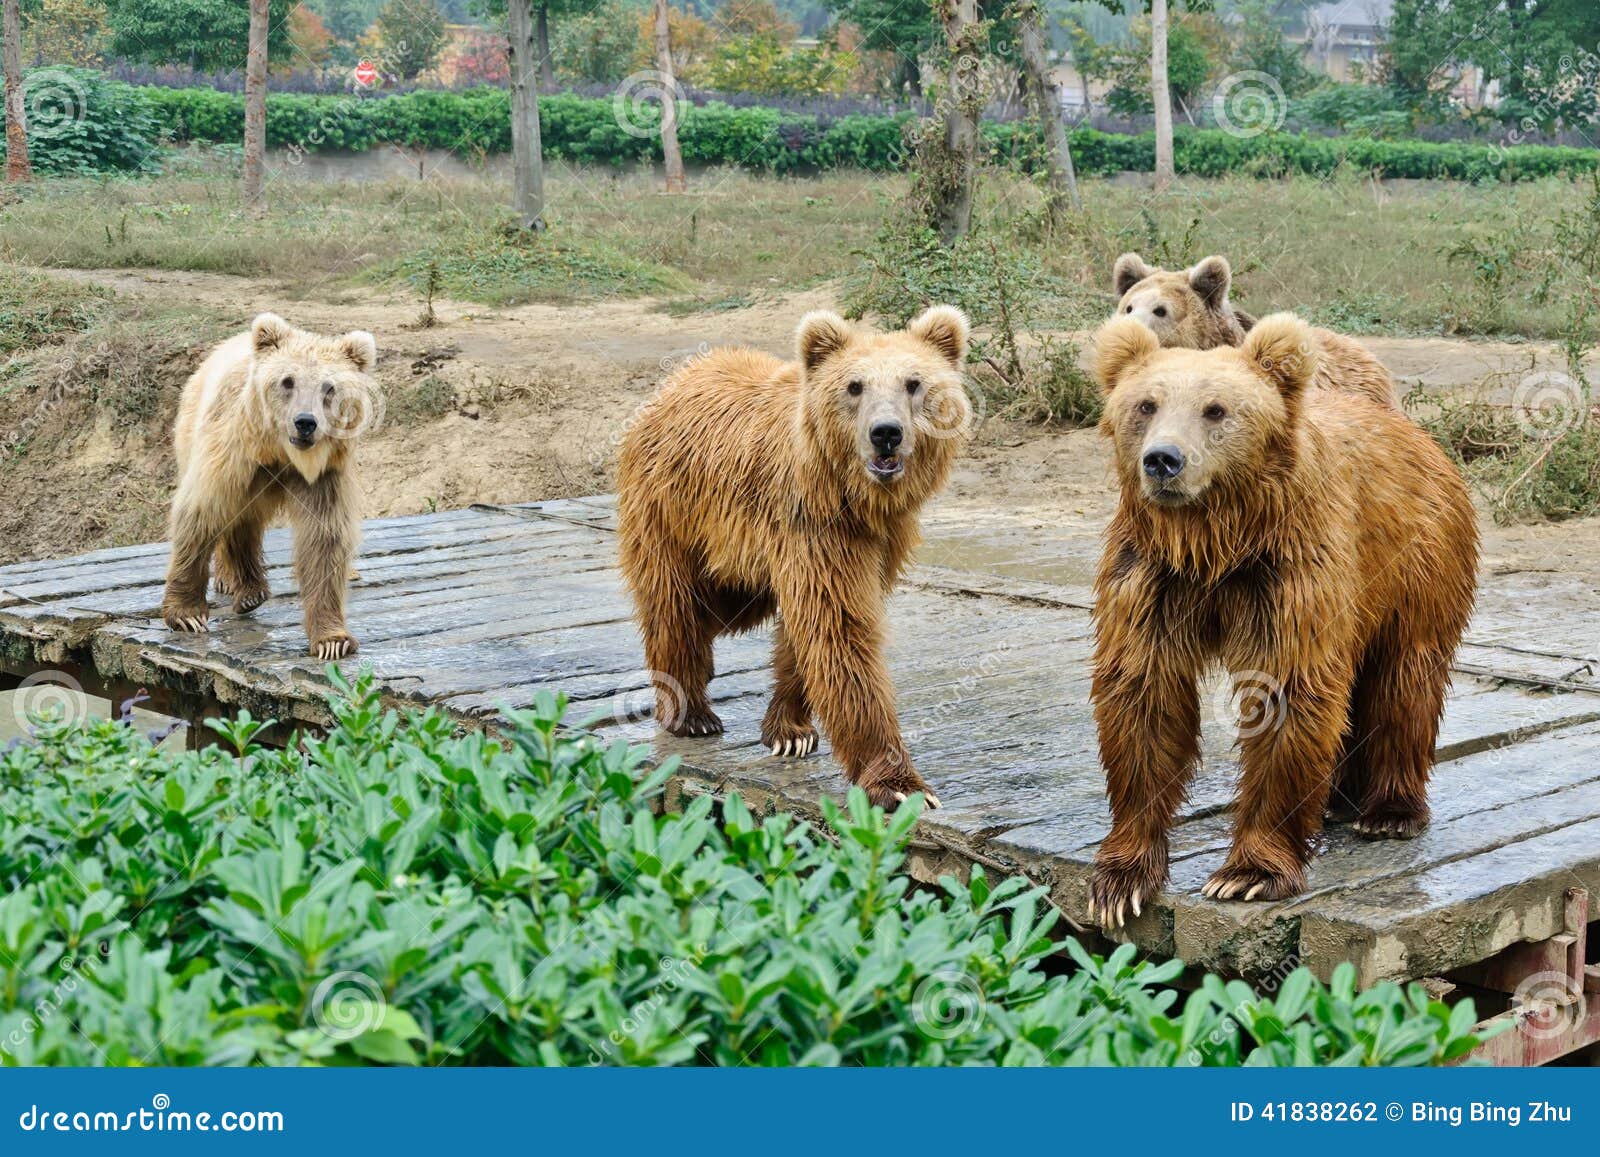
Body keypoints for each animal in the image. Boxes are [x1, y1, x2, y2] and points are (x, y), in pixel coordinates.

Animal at [160, 313, 378, 661]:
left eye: (329, 388)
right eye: (288, 381)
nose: (305, 422)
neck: (280, 454)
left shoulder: (323, 477)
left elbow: (323, 540)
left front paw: (332, 640)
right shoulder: (232, 454)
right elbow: (201, 512)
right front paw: (187, 615)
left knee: (244, 521)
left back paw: (251, 592)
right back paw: (233, 584)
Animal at [616, 306, 974, 809]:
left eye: (913, 383)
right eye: (855, 386)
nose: (886, 434)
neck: (856, 498)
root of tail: (672, 382)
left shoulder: (879, 540)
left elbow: (811, 630)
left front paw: (791, 731)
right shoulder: (812, 525)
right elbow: (839, 630)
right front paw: (901, 785)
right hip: (672, 509)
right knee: (676, 603)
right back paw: (690, 712)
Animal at [1084, 312, 1477, 926]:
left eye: (1215, 409)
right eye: (1145, 404)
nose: (1163, 460)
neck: (1216, 542)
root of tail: (1416, 434)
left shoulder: (1289, 569)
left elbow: (1288, 691)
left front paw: (1247, 873)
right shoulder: (1152, 578)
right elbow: (1143, 693)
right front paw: (1119, 881)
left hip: (1417, 562)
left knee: (1404, 677)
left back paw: (1389, 810)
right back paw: (1340, 800)